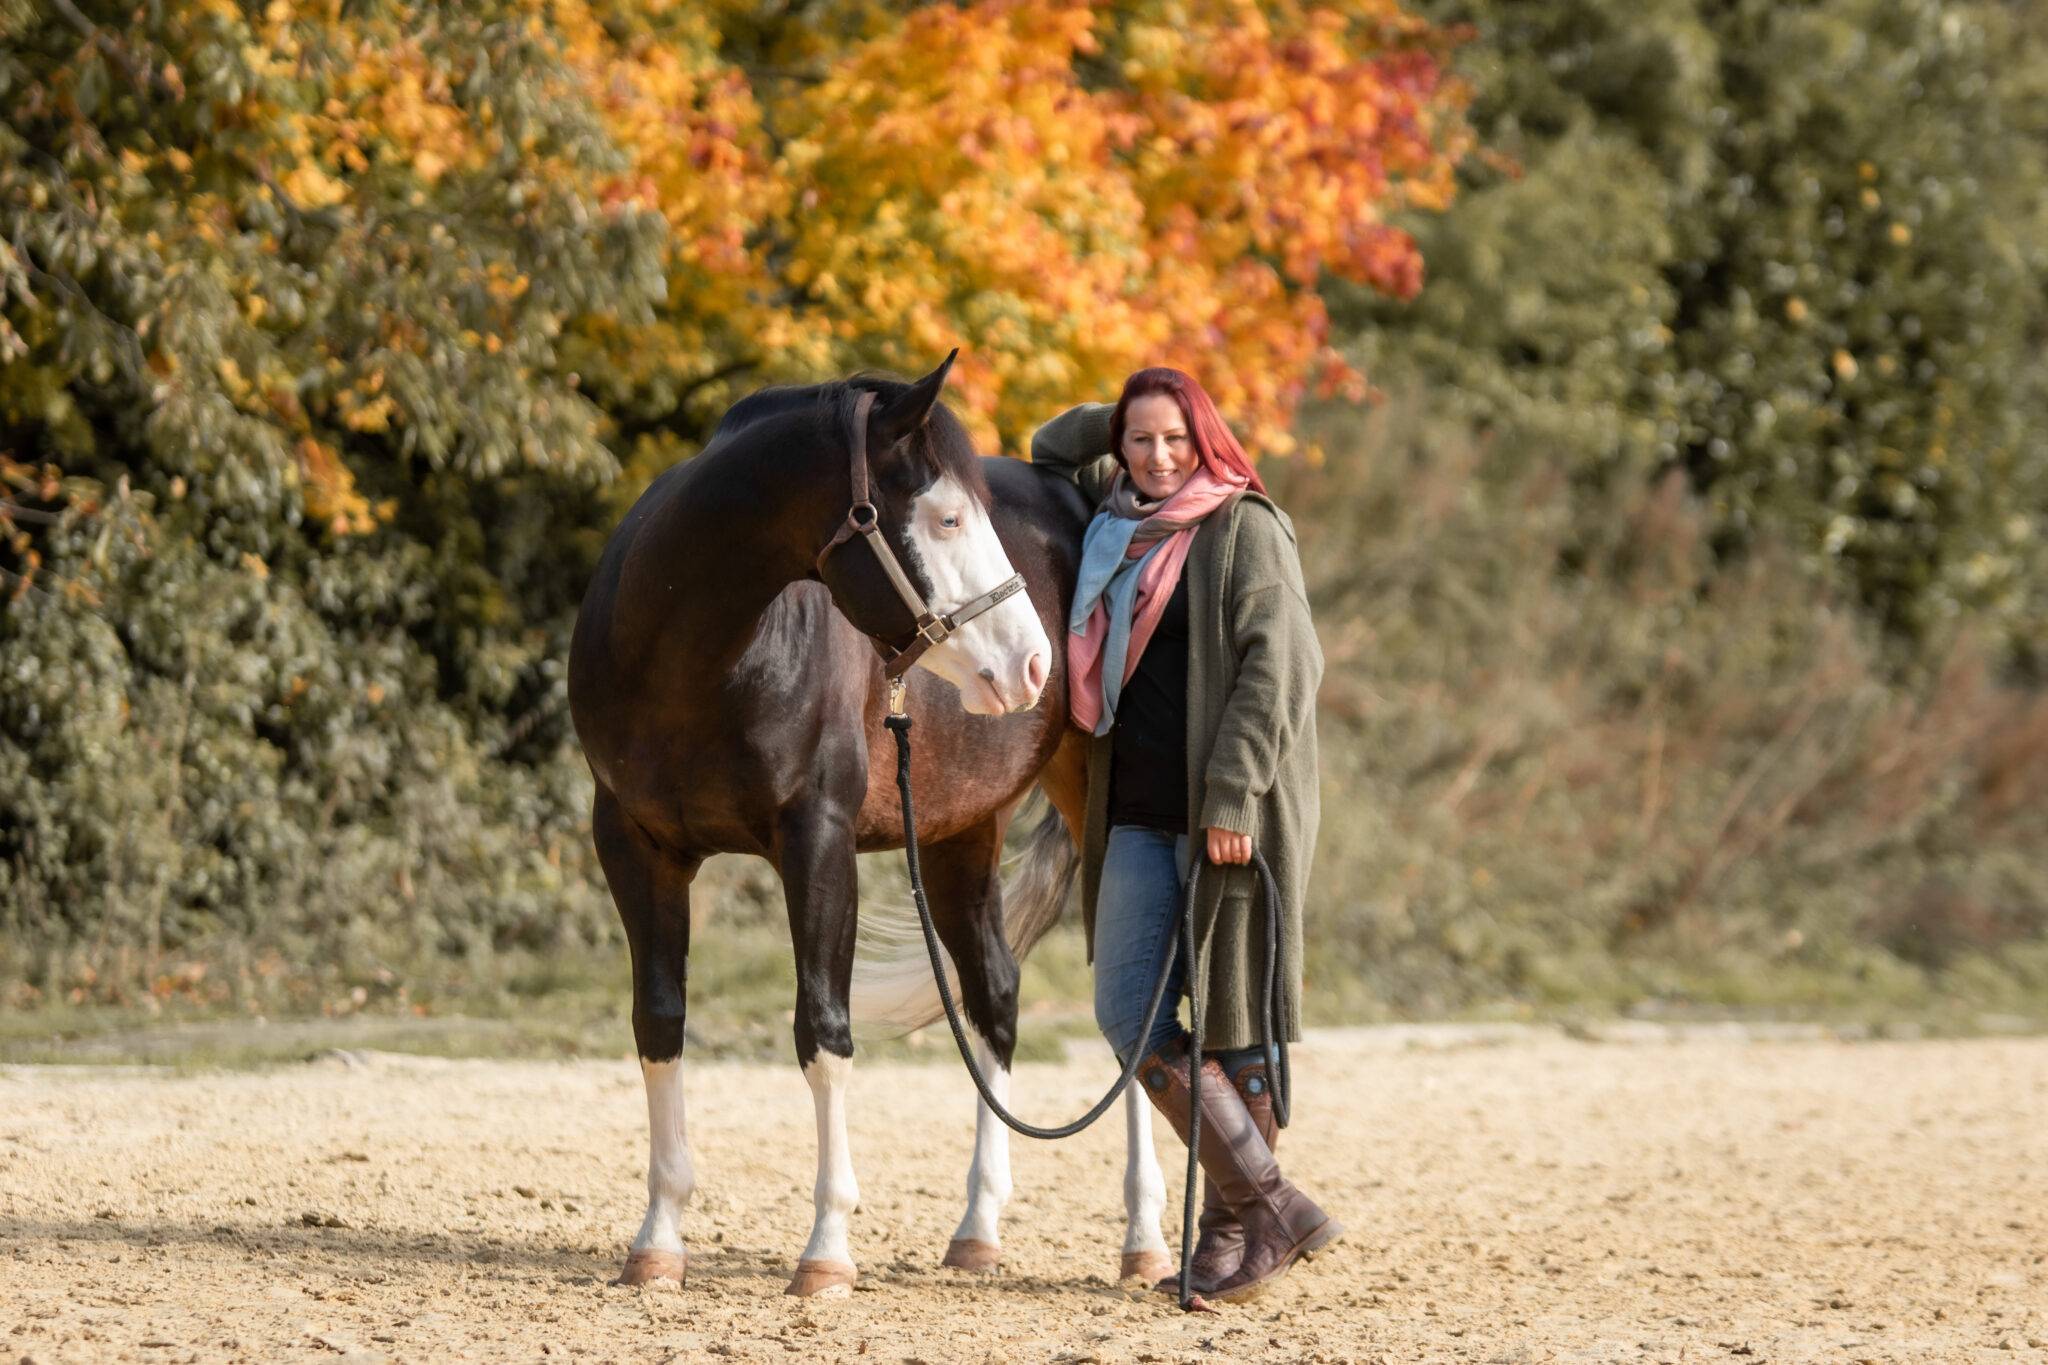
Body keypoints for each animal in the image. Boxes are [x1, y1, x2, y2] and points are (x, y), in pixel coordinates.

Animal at [567, 352, 1175, 1297]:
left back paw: (1144, 1239)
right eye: (947, 516)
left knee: (1127, 1004)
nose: (1033, 661)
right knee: (995, 992)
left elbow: (823, 1027)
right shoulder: (635, 846)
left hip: (1102, 819)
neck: (689, 655)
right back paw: (977, 1230)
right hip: (964, 832)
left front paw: (825, 1250)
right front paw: (657, 1238)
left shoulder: (817, 841)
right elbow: (659, 1020)